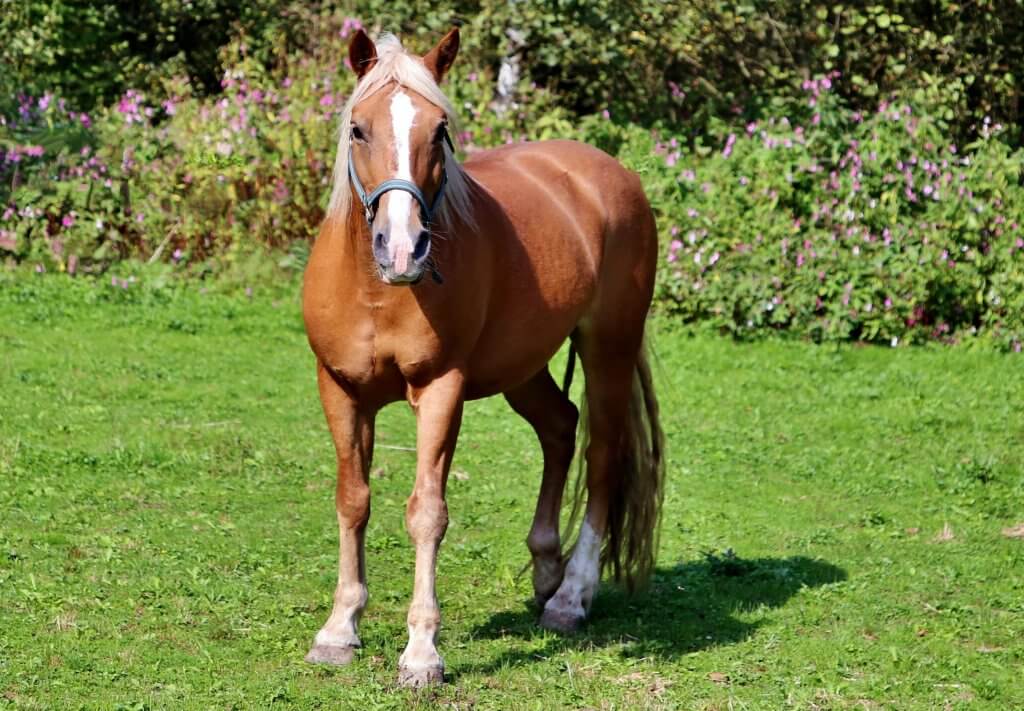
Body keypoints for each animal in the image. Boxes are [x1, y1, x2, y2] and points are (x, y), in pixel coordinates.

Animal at [301, 27, 665, 687]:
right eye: (358, 129)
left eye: (439, 129)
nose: (403, 248)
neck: (377, 293)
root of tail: (608, 172)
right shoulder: (339, 389)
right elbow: (353, 499)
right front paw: (339, 629)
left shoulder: (442, 389)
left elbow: (426, 512)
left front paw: (422, 652)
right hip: (523, 367)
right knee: (560, 427)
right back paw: (546, 572)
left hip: (609, 347)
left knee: (601, 456)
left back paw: (572, 597)